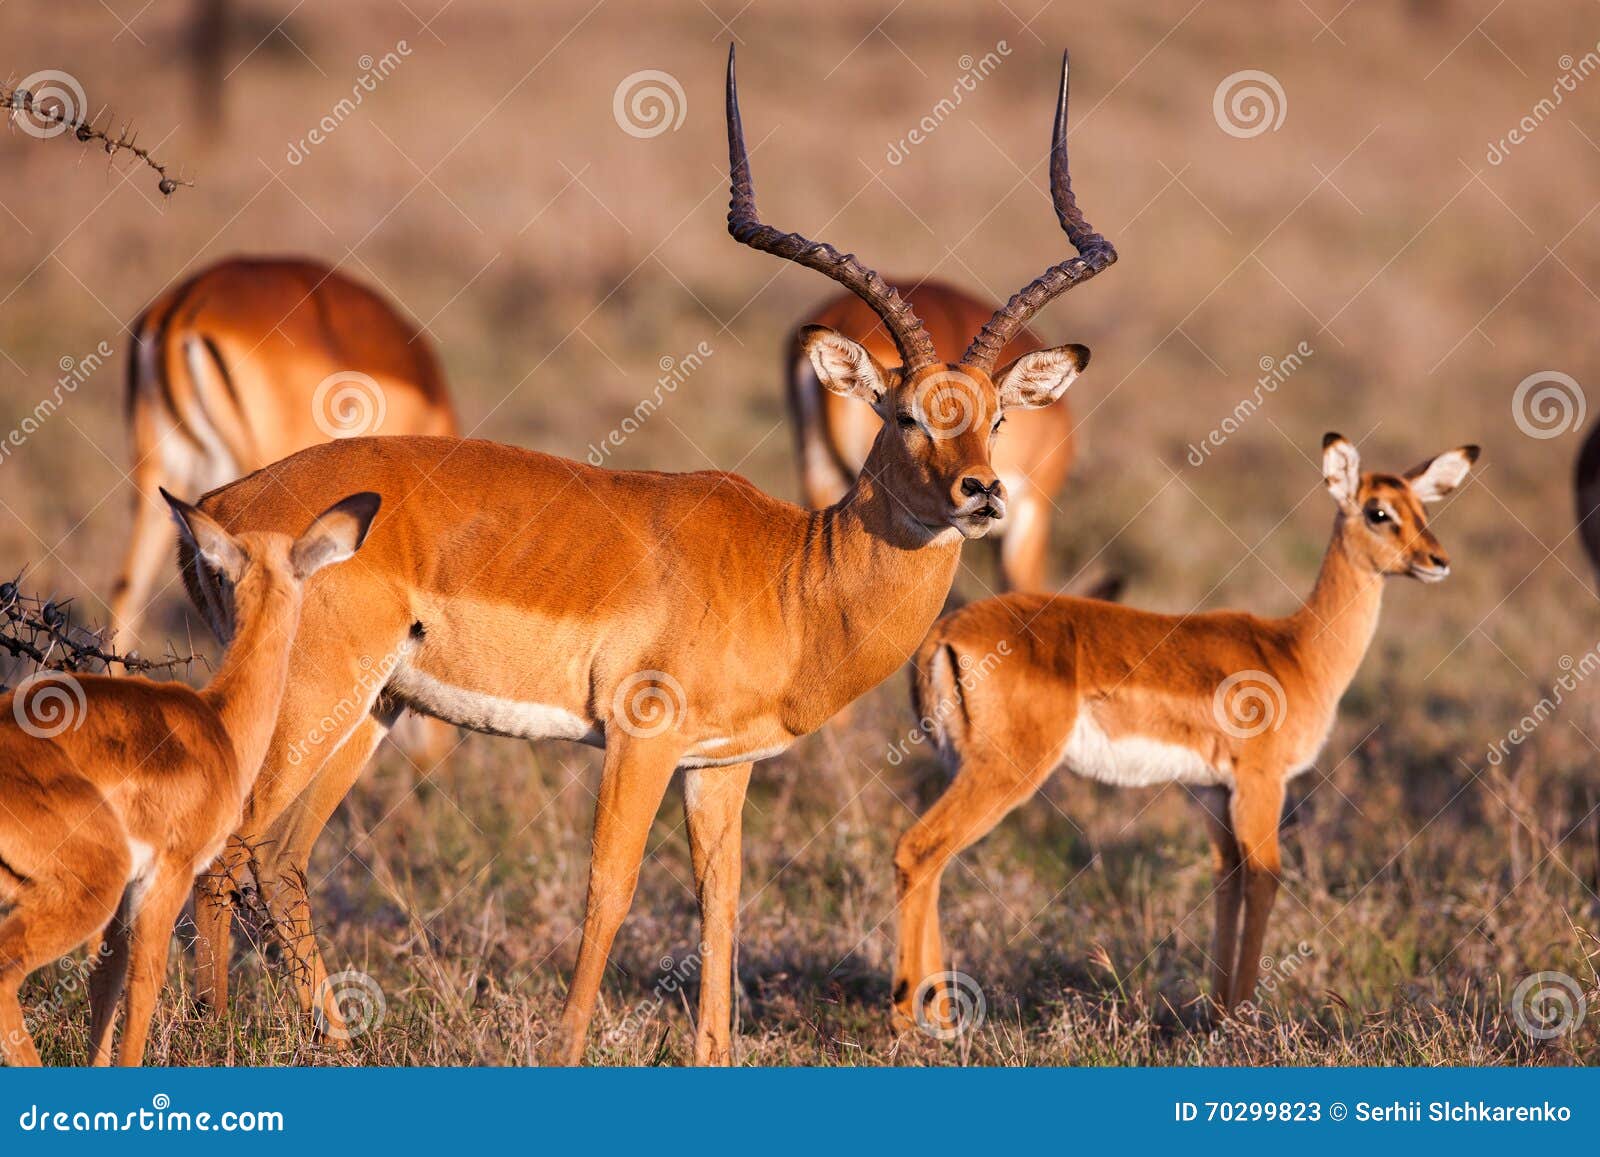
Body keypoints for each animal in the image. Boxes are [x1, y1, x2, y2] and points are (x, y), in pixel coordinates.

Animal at [0, 490, 379, 1066]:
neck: (218, 720)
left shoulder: (124, 908)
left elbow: (104, 989)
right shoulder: (168, 876)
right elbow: (144, 986)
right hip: (83, 890)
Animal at [789, 283, 1080, 591]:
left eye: (997, 421)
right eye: (907, 417)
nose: (984, 490)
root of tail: (845, 316)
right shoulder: (1033, 513)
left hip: (819, 473)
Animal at [892, 434, 1478, 1029]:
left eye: (1423, 509)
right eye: (1378, 512)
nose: (1439, 561)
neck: (1297, 652)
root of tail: (943, 632)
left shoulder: (1213, 792)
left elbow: (1227, 879)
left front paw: (1220, 1013)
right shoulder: (1261, 784)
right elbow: (1265, 877)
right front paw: (1244, 1019)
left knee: (931, 863)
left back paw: (939, 1014)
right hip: (1005, 772)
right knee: (917, 848)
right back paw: (916, 1022)